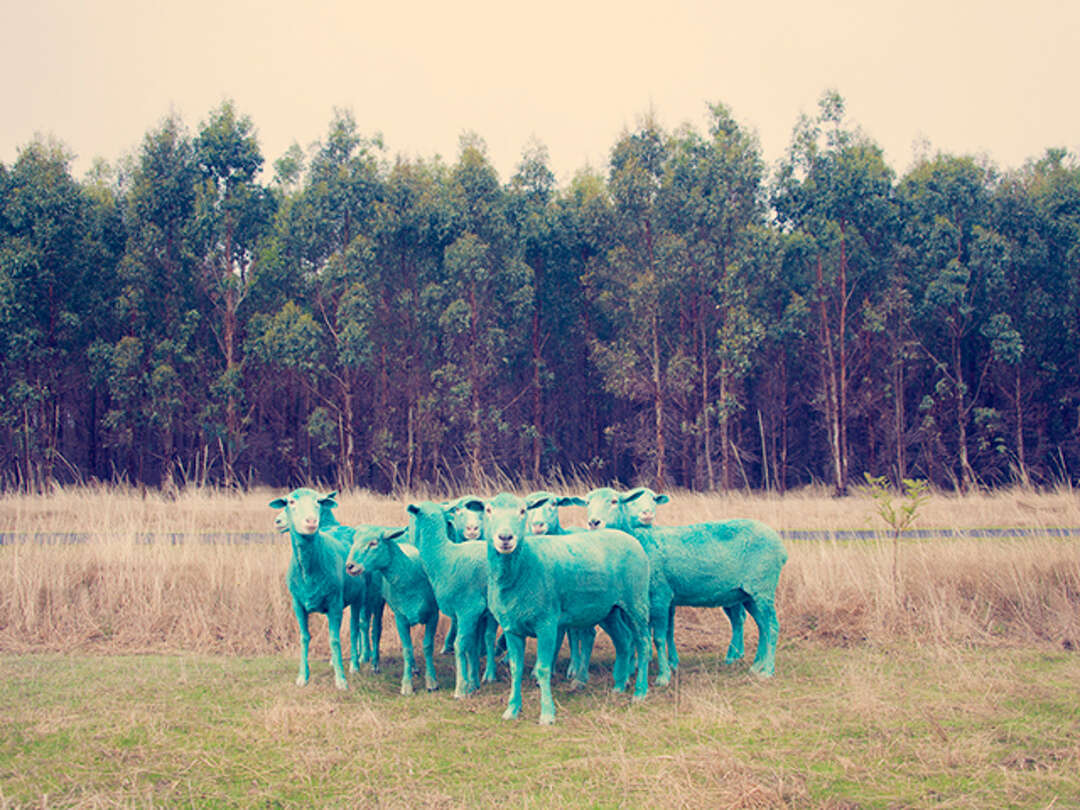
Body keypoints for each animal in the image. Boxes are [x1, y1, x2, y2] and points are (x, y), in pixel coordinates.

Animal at [270, 487, 378, 689]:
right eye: (290, 502)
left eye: (318, 502)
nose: (311, 521)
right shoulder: (298, 604)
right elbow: (304, 637)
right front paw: (302, 676)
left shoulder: (335, 603)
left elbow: (334, 639)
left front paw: (341, 680)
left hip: (359, 597)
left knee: (356, 627)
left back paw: (355, 663)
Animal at [345, 527, 440, 695]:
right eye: (354, 540)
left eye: (373, 543)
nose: (350, 566)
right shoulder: (400, 617)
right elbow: (407, 649)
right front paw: (407, 686)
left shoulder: (433, 614)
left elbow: (428, 646)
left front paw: (431, 682)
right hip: (378, 599)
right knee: (376, 631)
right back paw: (375, 665)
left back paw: (414, 668)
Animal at [406, 501, 499, 698]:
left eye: (413, 516)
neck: (442, 556)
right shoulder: (472, 614)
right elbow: (471, 646)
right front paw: (473, 683)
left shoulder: (469, 609)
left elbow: (460, 645)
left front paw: (461, 688)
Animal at [477, 491, 651, 725]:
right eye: (488, 510)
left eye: (523, 511)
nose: (505, 538)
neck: (522, 568)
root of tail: (629, 538)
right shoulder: (511, 627)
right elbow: (515, 669)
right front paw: (512, 710)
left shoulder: (547, 623)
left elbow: (543, 668)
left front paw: (547, 714)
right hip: (609, 609)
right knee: (623, 640)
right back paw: (619, 686)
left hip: (636, 601)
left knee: (643, 643)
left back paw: (640, 692)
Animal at [581, 487, 787, 681]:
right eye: (587, 503)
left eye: (614, 501)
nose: (594, 522)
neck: (641, 542)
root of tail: (780, 547)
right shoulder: (639, 602)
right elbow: (643, 635)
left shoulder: (660, 596)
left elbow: (659, 637)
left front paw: (663, 676)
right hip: (748, 594)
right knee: (762, 626)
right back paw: (757, 666)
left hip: (763, 588)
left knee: (772, 626)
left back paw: (767, 671)